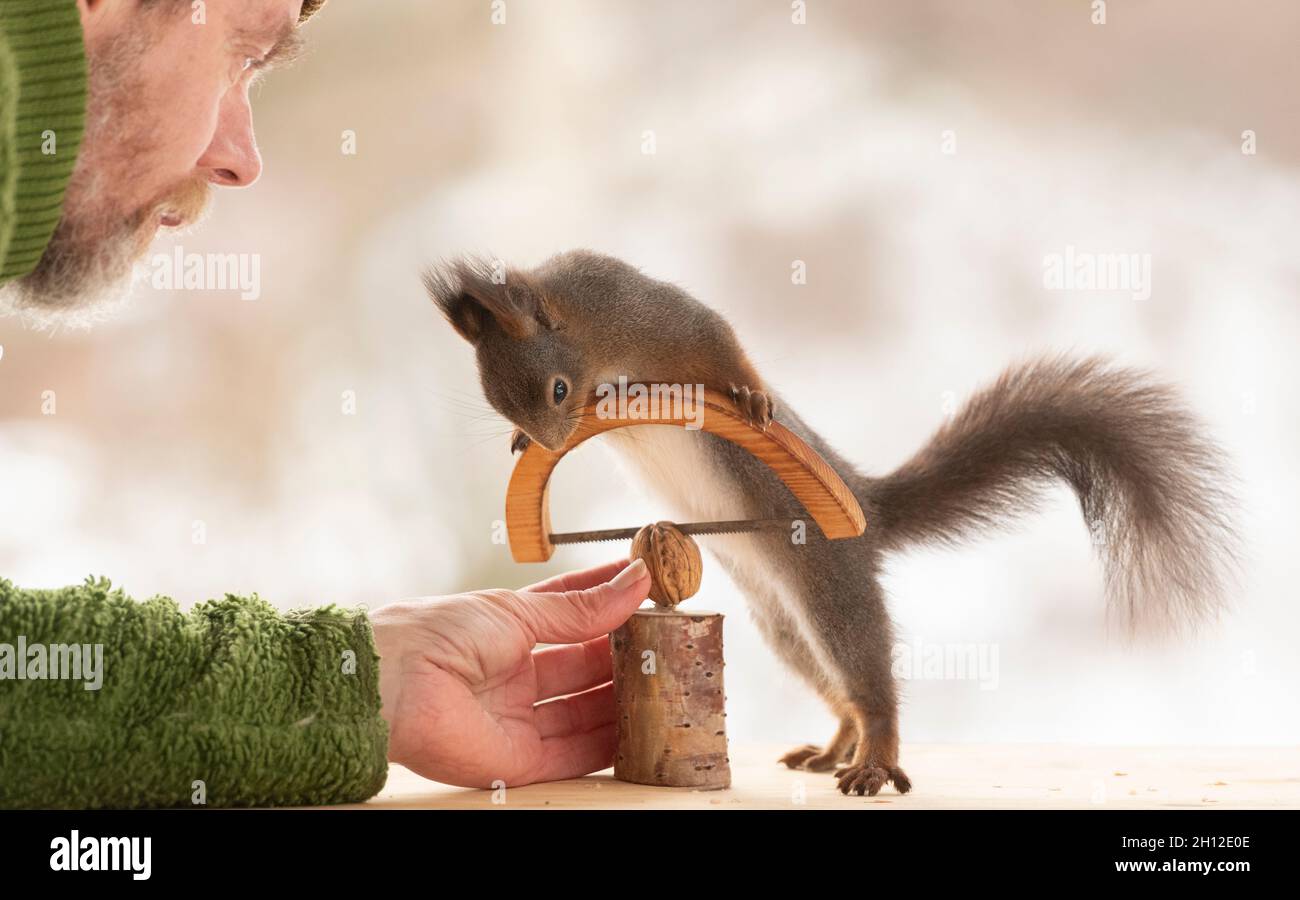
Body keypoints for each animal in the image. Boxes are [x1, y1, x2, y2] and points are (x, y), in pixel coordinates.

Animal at [424, 249, 1239, 797]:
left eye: (559, 388)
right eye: (496, 398)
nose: (549, 440)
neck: (585, 328)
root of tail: (865, 510)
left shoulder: (652, 317)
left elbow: (720, 344)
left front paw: (752, 400)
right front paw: (518, 440)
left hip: (829, 585)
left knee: (869, 683)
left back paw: (875, 758)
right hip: (780, 621)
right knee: (837, 689)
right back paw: (834, 748)